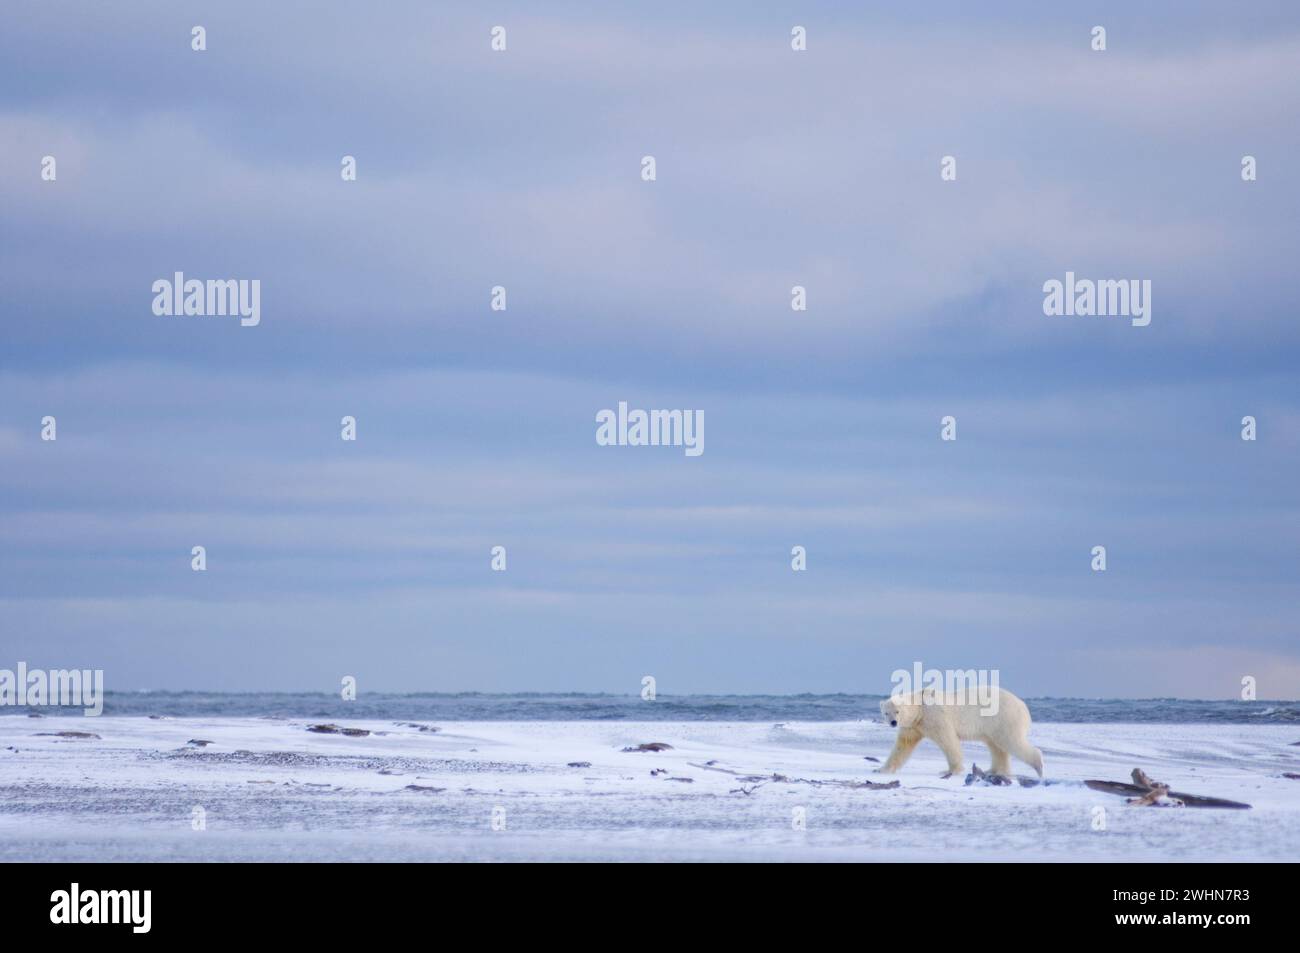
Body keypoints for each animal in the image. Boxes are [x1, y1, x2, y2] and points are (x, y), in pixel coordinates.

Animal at [877, 687, 1043, 778]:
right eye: (886, 713)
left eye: (897, 711)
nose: (893, 722)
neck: (921, 708)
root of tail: (1024, 706)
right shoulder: (914, 726)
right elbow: (902, 746)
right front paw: (882, 769)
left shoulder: (936, 717)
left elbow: (948, 740)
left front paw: (952, 770)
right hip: (994, 726)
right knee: (996, 747)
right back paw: (994, 771)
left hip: (1004, 718)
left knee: (1012, 742)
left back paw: (1039, 766)